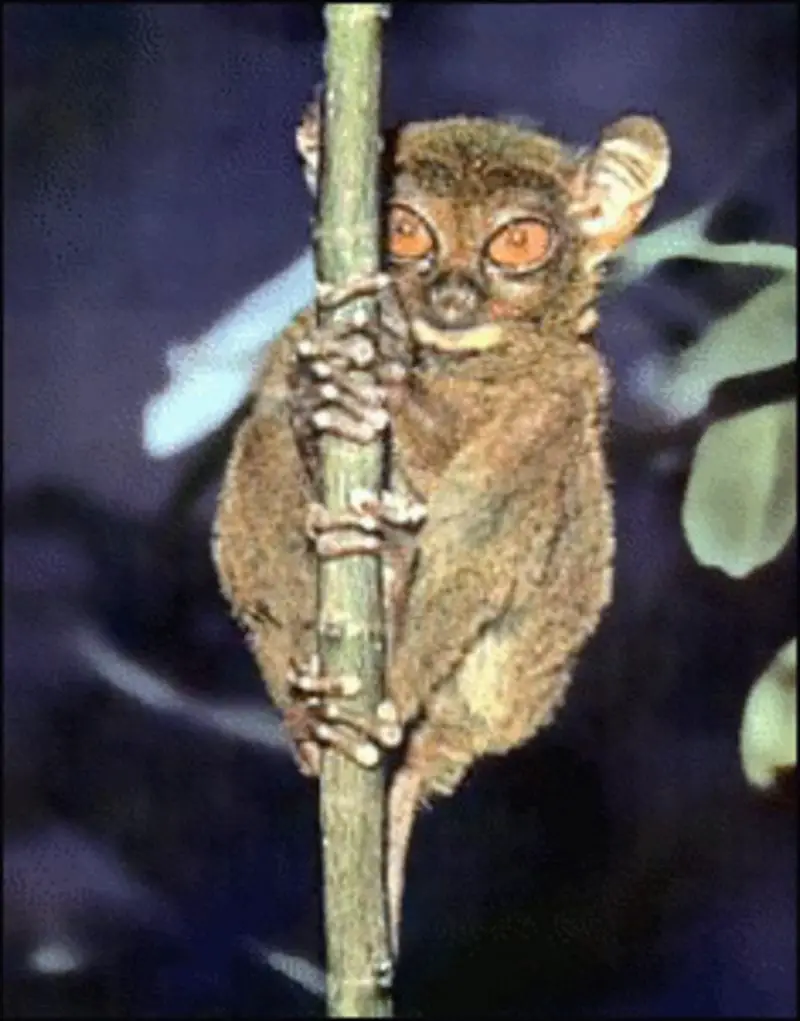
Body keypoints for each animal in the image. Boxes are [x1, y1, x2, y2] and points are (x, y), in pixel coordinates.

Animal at [212, 105, 671, 954]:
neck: (460, 361)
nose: (453, 293)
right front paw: (320, 397)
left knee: (521, 472)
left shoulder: (568, 376)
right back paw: (313, 706)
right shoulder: (305, 328)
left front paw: (392, 379)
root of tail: (453, 742)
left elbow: (509, 456)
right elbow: (288, 383)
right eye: (402, 231)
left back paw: (392, 644)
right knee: (260, 437)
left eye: (517, 243)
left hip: (509, 674)